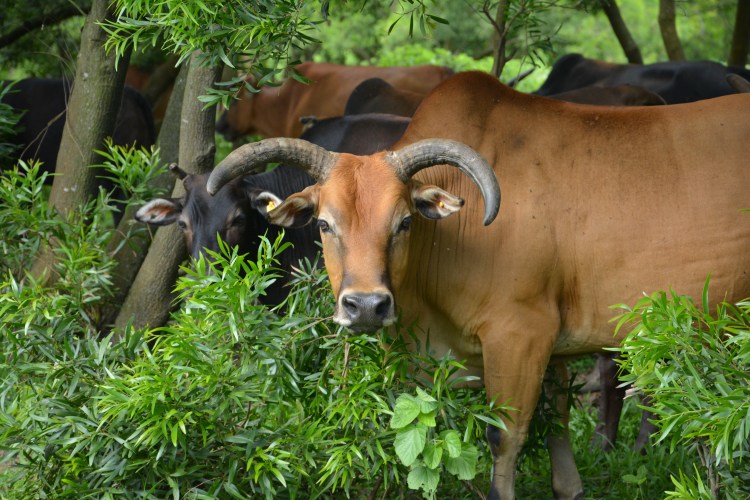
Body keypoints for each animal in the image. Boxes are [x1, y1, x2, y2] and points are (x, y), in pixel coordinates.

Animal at [205, 70, 750, 499]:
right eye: (323, 224)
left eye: (404, 222)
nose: (366, 306)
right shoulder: (549, 347)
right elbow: (556, 428)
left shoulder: (520, 335)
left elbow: (504, 440)